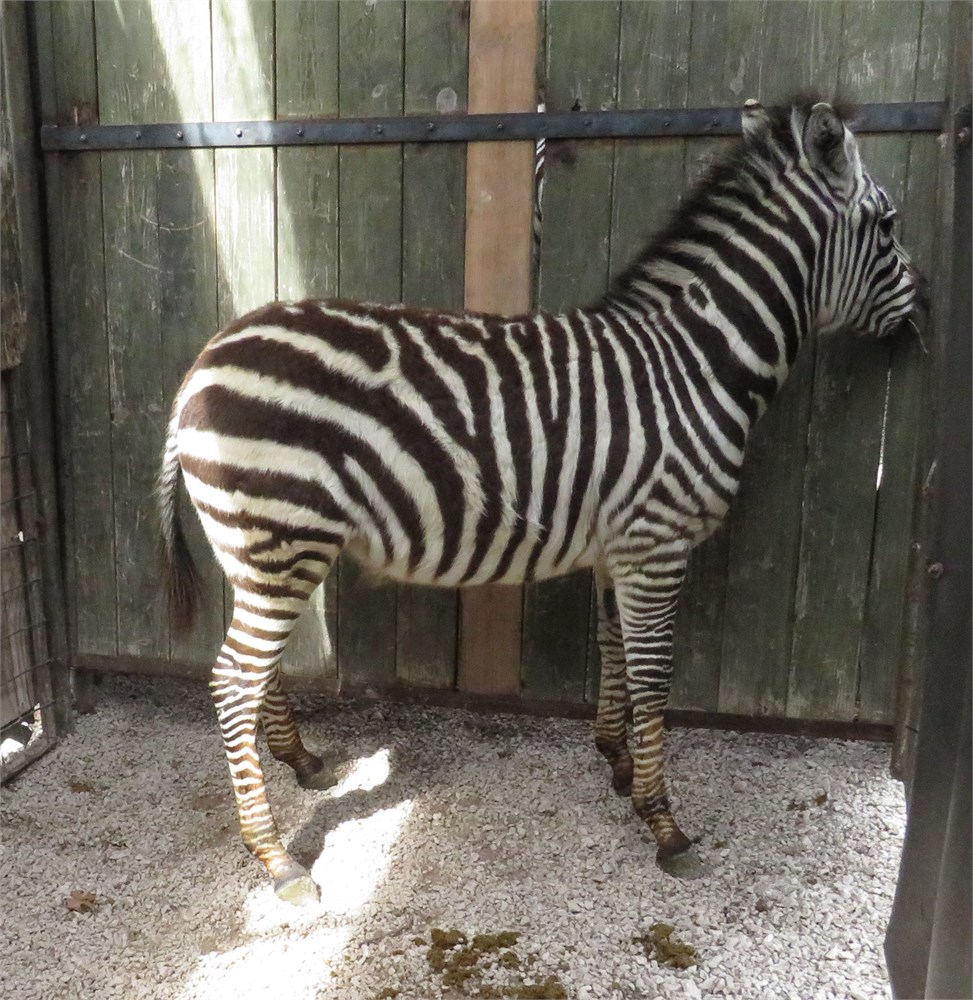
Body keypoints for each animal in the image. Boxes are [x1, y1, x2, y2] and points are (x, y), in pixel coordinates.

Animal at [158, 97, 922, 905]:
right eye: (888, 226)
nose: (920, 318)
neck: (695, 364)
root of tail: (206, 361)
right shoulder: (657, 541)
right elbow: (653, 675)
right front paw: (663, 821)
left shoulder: (620, 546)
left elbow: (614, 649)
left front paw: (618, 762)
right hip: (280, 539)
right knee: (233, 680)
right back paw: (274, 856)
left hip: (262, 549)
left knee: (254, 670)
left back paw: (299, 761)